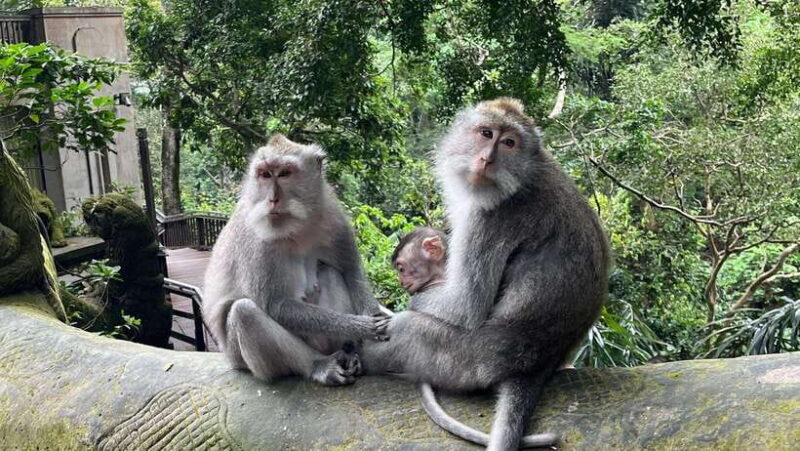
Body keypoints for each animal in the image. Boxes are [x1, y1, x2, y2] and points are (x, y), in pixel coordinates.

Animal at [203, 134, 389, 386]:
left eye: (284, 173)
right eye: (264, 174)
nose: (272, 199)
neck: (296, 226)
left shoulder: (333, 216)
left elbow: (350, 271)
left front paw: (373, 316)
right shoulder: (257, 240)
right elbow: (276, 304)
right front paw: (364, 327)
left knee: (331, 272)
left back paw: (349, 351)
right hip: (241, 358)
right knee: (244, 312)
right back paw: (321, 365)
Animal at [361, 98, 610, 450]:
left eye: (509, 143)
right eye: (486, 134)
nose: (486, 159)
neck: (522, 176)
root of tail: (539, 365)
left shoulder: (490, 219)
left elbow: (464, 306)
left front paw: (403, 306)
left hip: (466, 363)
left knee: (409, 331)